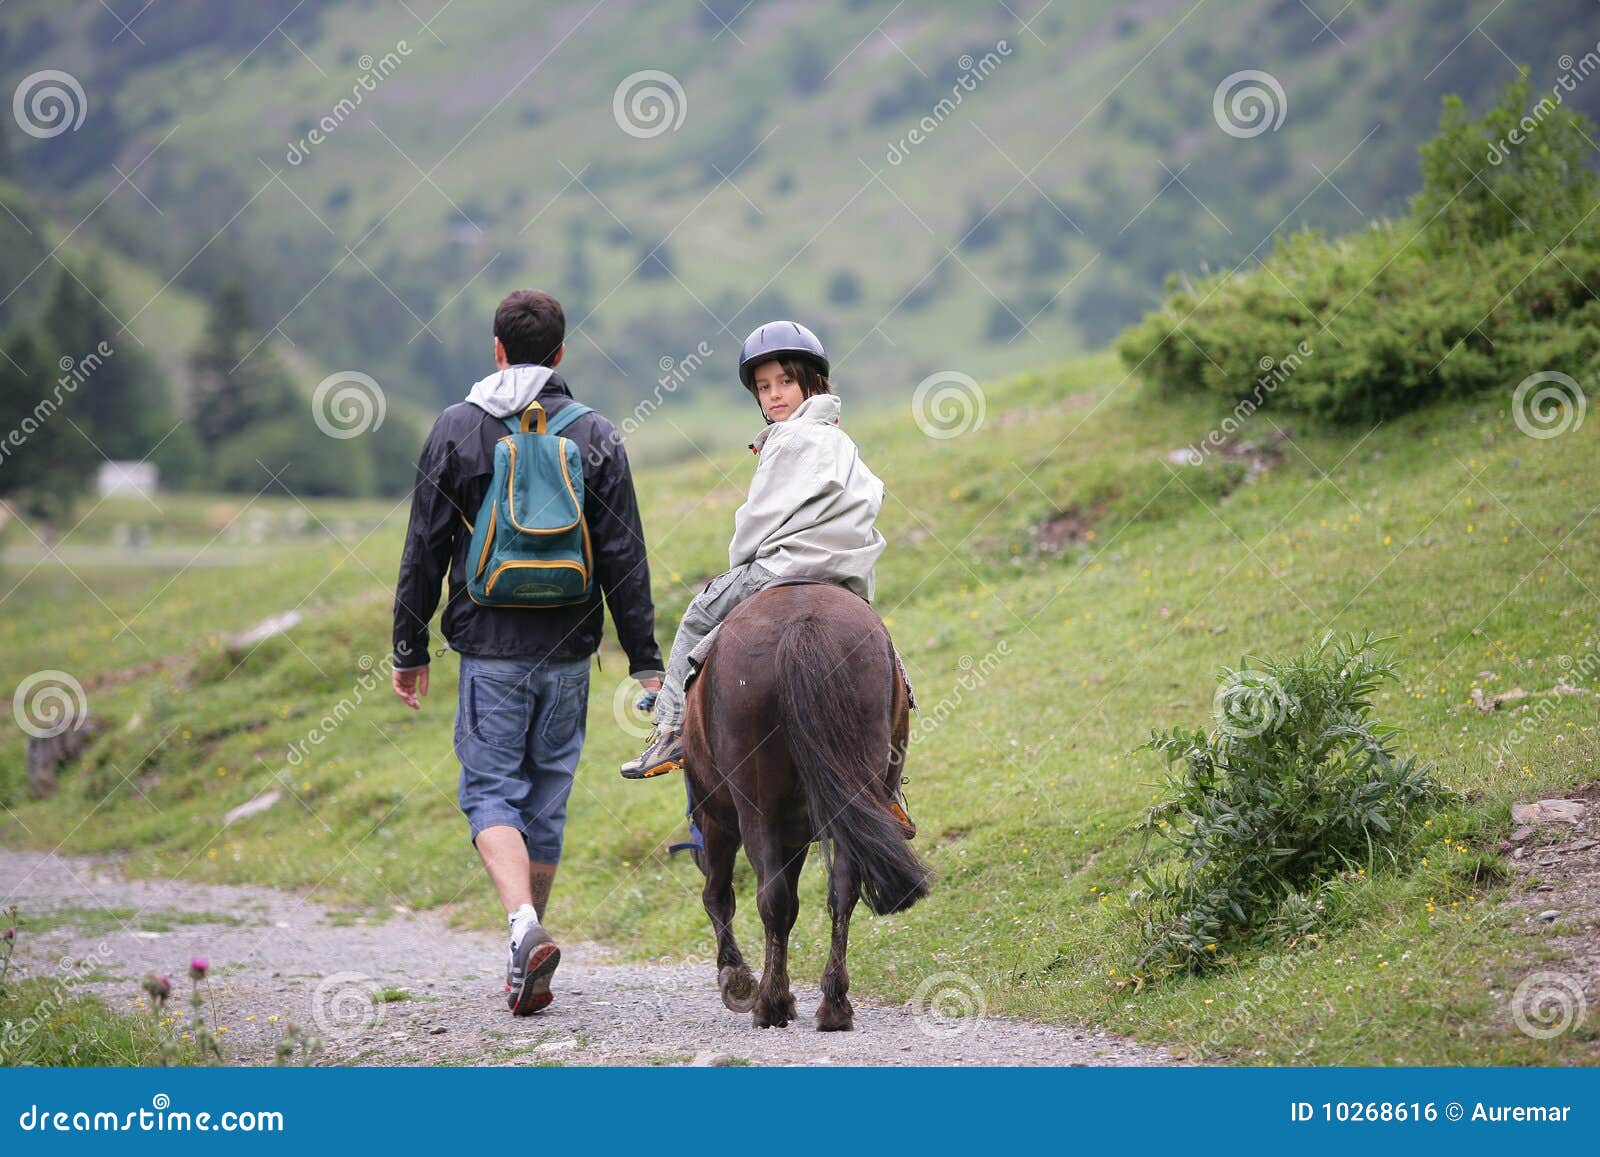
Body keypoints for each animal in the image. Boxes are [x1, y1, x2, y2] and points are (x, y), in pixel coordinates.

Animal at [681, 581, 930, 1031]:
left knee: (769, 897)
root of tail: (803, 623)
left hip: (755, 809)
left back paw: (770, 1003)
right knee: (842, 890)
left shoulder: (718, 820)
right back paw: (834, 1003)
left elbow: (719, 894)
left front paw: (736, 979)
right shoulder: (794, 834)